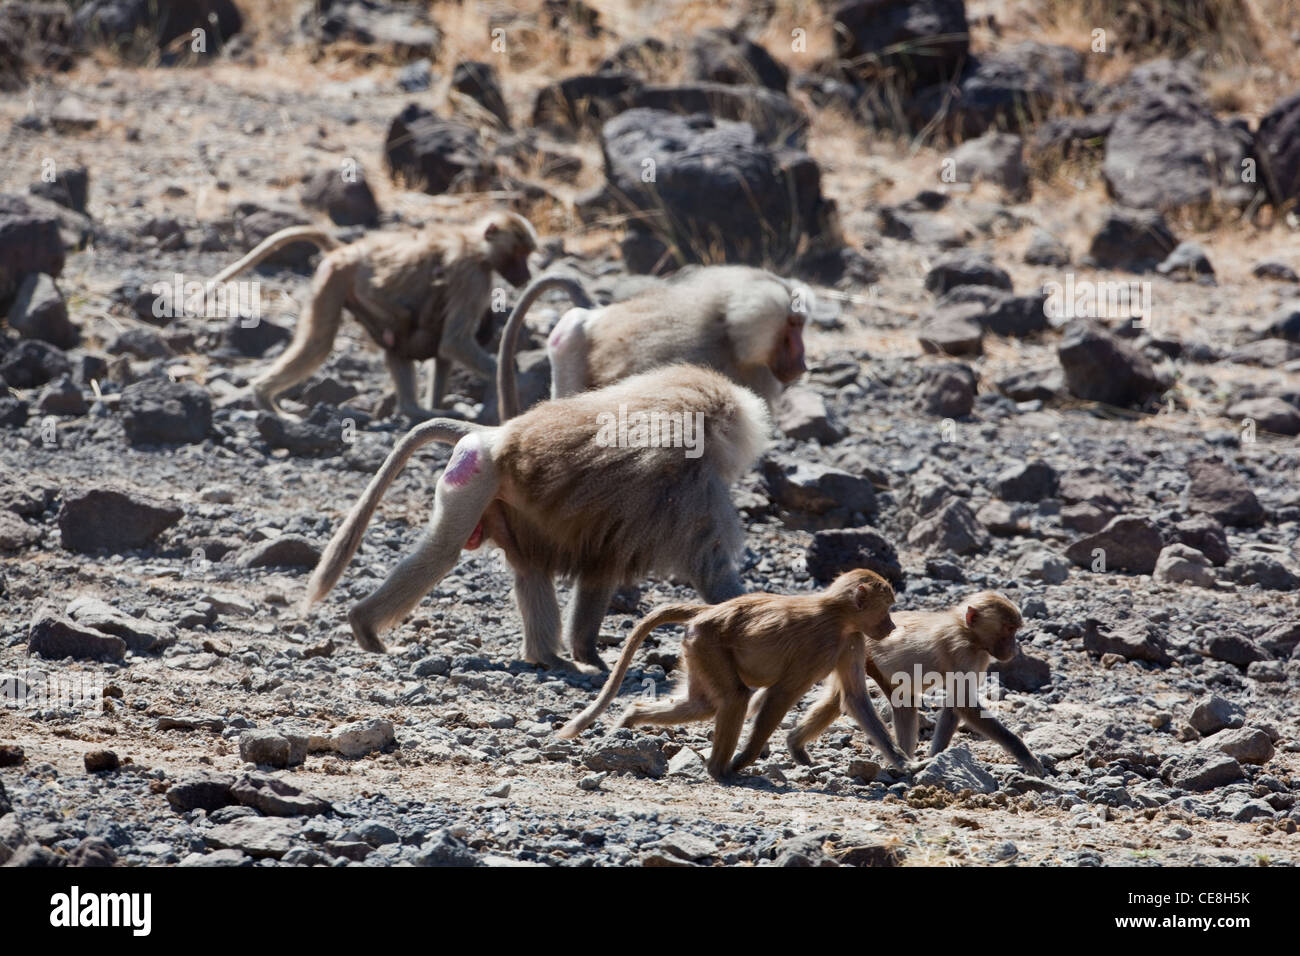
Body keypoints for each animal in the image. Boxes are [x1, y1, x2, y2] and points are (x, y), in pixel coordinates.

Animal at [210, 211, 539, 420]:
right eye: (519, 254)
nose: (526, 275)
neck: (478, 246)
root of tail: (345, 250)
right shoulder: (473, 276)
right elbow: (454, 342)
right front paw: (513, 382)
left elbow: (445, 350)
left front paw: (440, 405)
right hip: (336, 278)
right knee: (320, 344)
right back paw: (264, 398)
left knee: (398, 345)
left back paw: (414, 409)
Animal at [302, 364, 770, 670]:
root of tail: (492, 433)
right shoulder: (691, 490)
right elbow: (711, 574)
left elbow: (600, 567)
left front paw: (589, 654)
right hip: (474, 477)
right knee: (442, 554)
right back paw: (365, 627)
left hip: (496, 496)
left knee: (529, 567)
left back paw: (547, 658)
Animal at [495, 264, 809, 420]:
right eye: (792, 325)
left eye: (801, 325)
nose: (804, 364)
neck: (729, 337)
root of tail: (595, 312)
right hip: (568, 342)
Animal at [558, 570, 912, 781]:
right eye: (886, 609)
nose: (891, 626)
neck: (838, 615)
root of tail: (710, 611)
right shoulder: (821, 644)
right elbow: (780, 695)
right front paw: (745, 759)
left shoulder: (853, 639)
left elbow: (854, 698)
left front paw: (903, 762)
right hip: (707, 643)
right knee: (734, 698)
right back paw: (722, 770)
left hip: (697, 649)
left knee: (702, 705)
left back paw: (628, 721)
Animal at [778, 591, 1046, 776]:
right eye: (1008, 629)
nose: (1013, 649)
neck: (966, 631)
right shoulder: (964, 651)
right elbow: (965, 704)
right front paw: (1025, 755)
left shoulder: (979, 656)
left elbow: (955, 705)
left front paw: (938, 757)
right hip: (862, 652)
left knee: (846, 699)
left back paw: (795, 744)